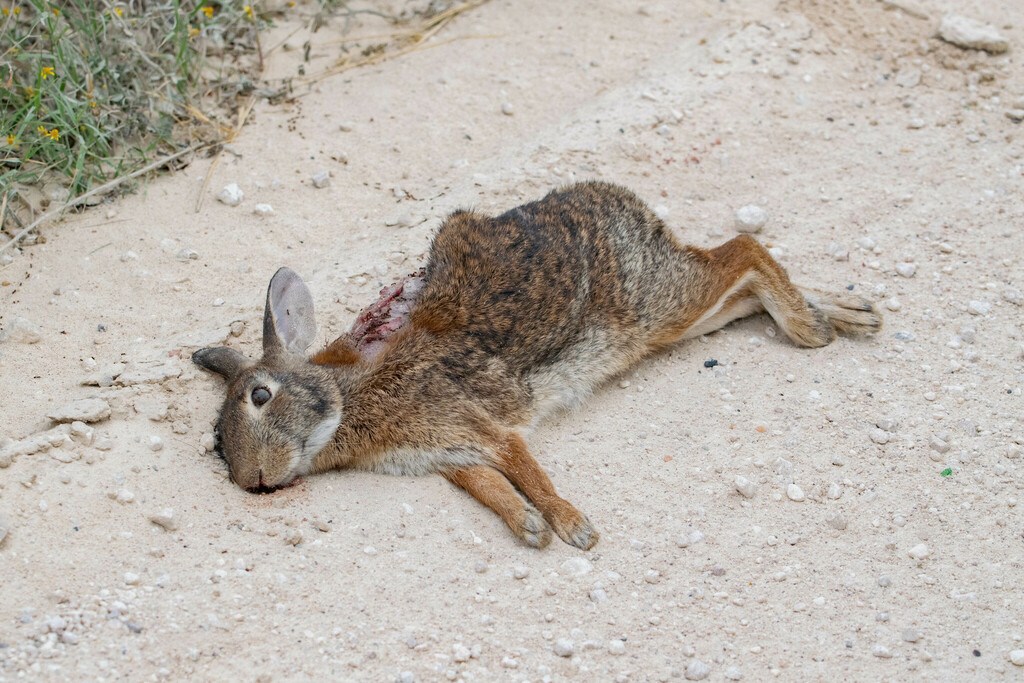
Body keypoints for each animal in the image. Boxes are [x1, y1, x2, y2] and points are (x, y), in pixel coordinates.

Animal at [193, 181, 881, 550]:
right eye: (216, 440)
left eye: (260, 395)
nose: (253, 481)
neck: (349, 400)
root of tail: (630, 207)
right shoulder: (454, 457)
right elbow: (493, 488)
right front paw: (527, 527)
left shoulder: (485, 430)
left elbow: (530, 473)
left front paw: (573, 529)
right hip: (681, 321)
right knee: (744, 287)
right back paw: (852, 313)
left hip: (659, 304)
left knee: (744, 250)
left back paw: (814, 329)